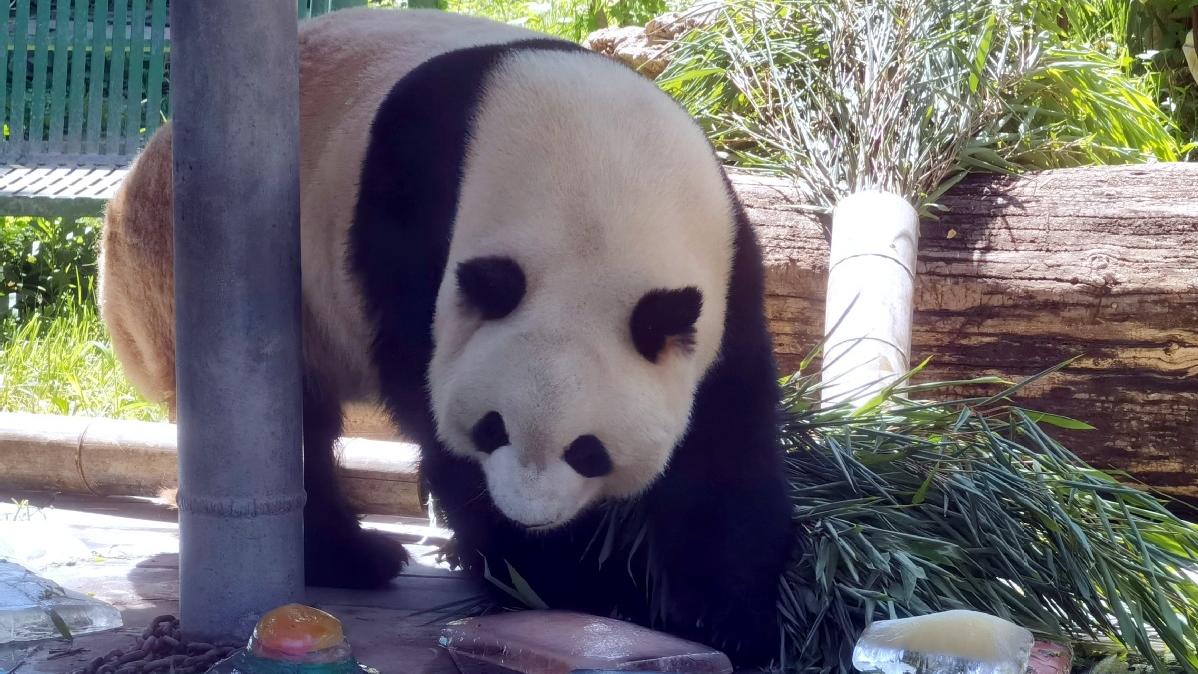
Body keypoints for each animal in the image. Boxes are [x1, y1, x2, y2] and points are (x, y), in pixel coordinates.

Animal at [98, 7, 793, 665]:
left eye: (588, 451)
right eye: (492, 428)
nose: (532, 518)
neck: (597, 185)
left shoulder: (726, 269)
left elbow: (726, 438)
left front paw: (725, 621)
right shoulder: (413, 226)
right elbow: (429, 407)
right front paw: (559, 584)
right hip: (198, 273)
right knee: (292, 425)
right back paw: (356, 557)